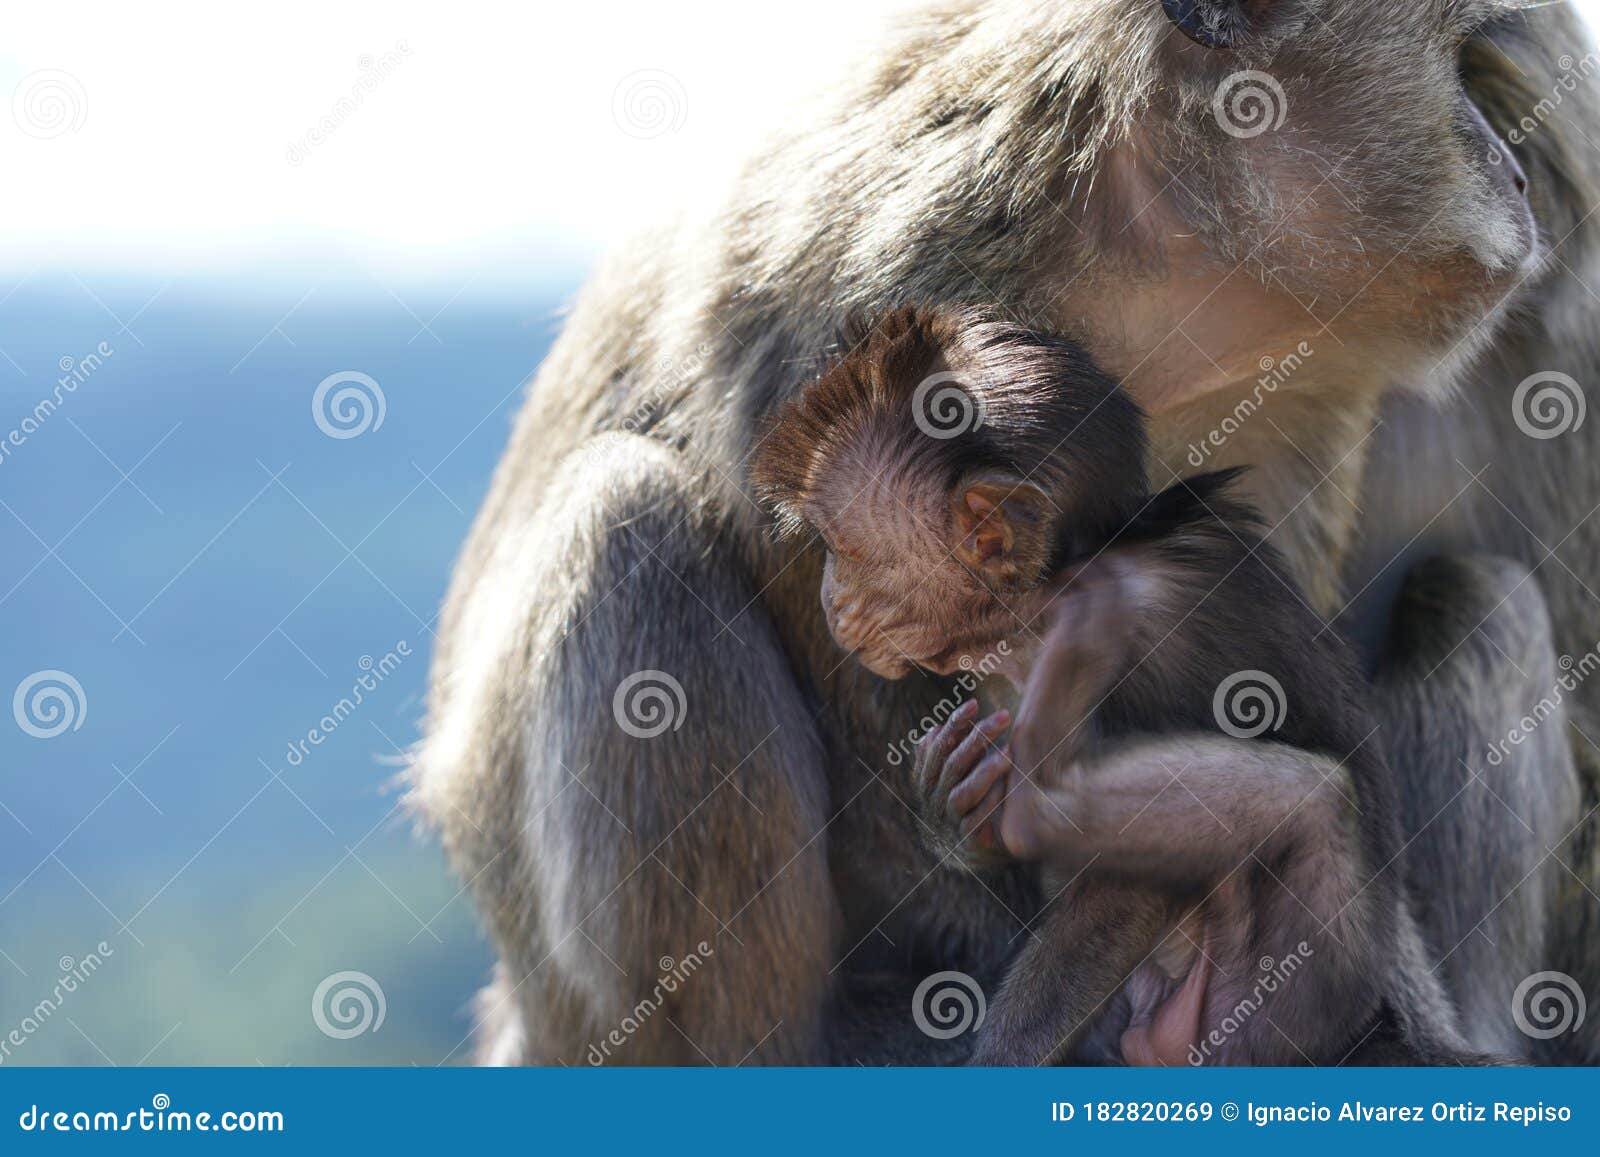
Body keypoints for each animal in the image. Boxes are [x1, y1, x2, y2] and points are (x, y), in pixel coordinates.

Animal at [750, 303, 1487, 1066]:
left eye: (846, 551)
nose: (831, 599)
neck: (1052, 585)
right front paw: (962, 817)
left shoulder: (1103, 619)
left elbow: (1122, 882)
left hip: (1277, 1005)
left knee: (1312, 802)